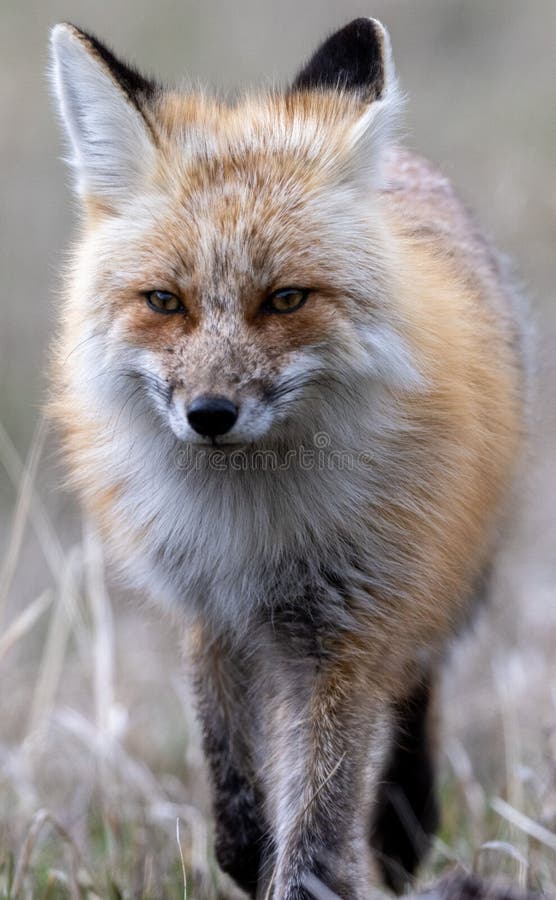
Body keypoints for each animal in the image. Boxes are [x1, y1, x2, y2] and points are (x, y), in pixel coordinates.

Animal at [48, 16, 529, 900]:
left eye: (285, 300)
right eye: (165, 302)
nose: (209, 415)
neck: (252, 528)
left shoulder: (349, 626)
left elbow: (317, 824)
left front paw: (312, 866)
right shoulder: (208, 612)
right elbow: (234, 780)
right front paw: (245, 848)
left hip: (443, 578)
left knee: (416, 690)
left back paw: (402, 831)